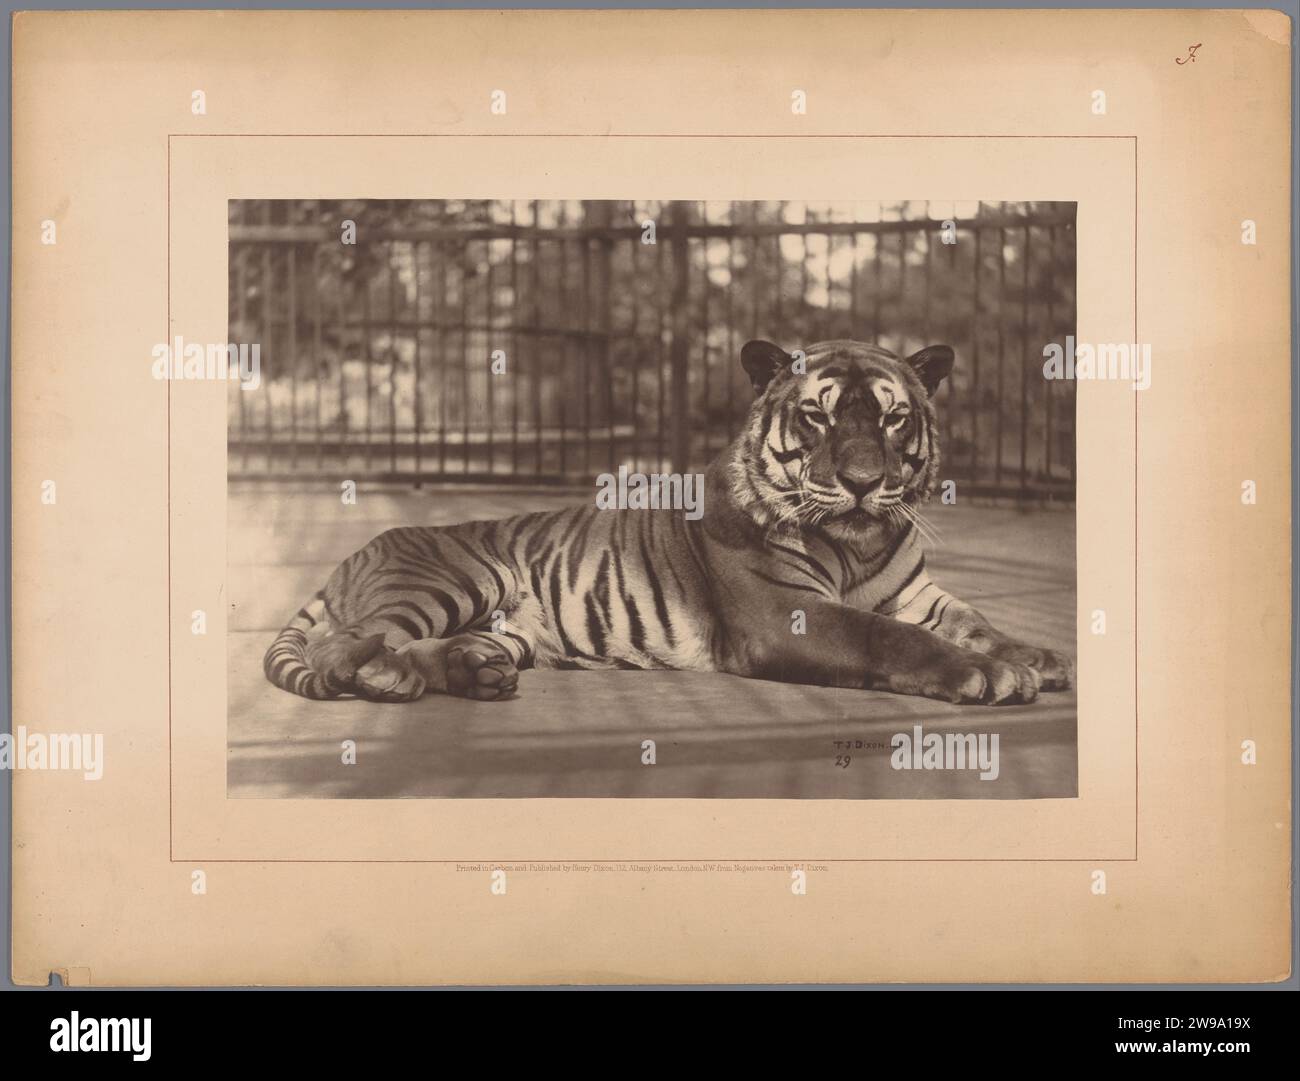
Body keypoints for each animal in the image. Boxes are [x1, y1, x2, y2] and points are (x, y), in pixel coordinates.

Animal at [264, 338, 1073, 706]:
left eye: (893, 416)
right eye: (817, 416)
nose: (864, 481)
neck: (857, 546)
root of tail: (350, 558)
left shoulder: (918, 594)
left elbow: (973, 620)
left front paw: (1034, 655)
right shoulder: (786, 611)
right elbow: (888, 636)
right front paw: (985, 674)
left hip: (506, 626)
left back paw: (474, 670)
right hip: (451, 576)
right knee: (345, 649)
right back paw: (391, 678)